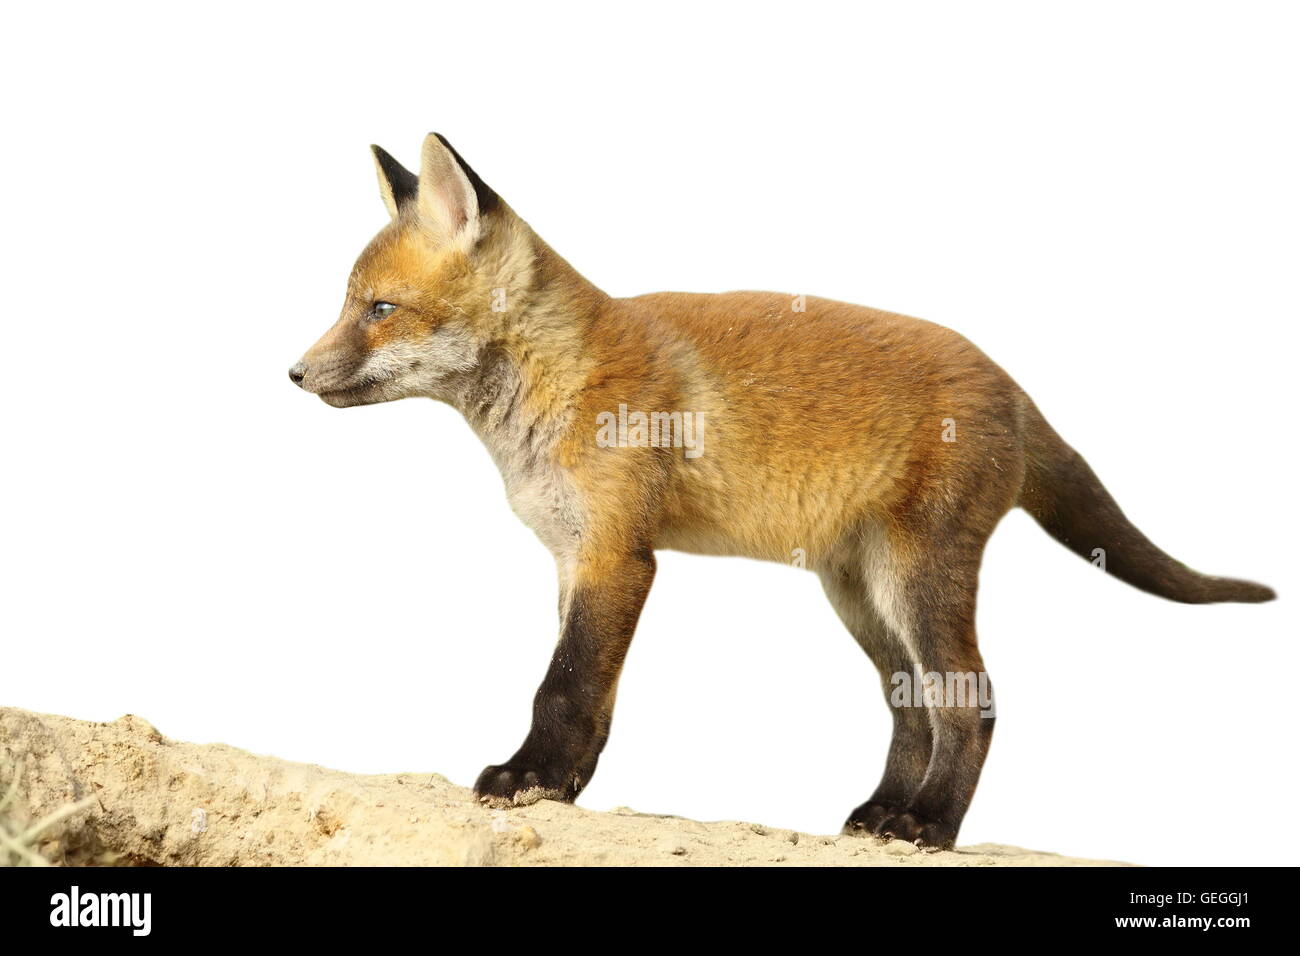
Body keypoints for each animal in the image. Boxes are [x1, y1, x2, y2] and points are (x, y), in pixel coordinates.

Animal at [290, 132, 1275, 850]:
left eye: (378, 310)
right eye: (348, 304)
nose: (293, 373)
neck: (556, 384)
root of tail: (1011, 383)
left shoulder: (618, 556)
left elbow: (562, 687)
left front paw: (527, 779)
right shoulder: (573, 559)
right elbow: (592, 696)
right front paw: (565, 787)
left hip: (917, 580)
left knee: (973, 700)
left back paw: (929, 826)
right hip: (861, 596)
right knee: (913, 708)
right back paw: (880, 815)